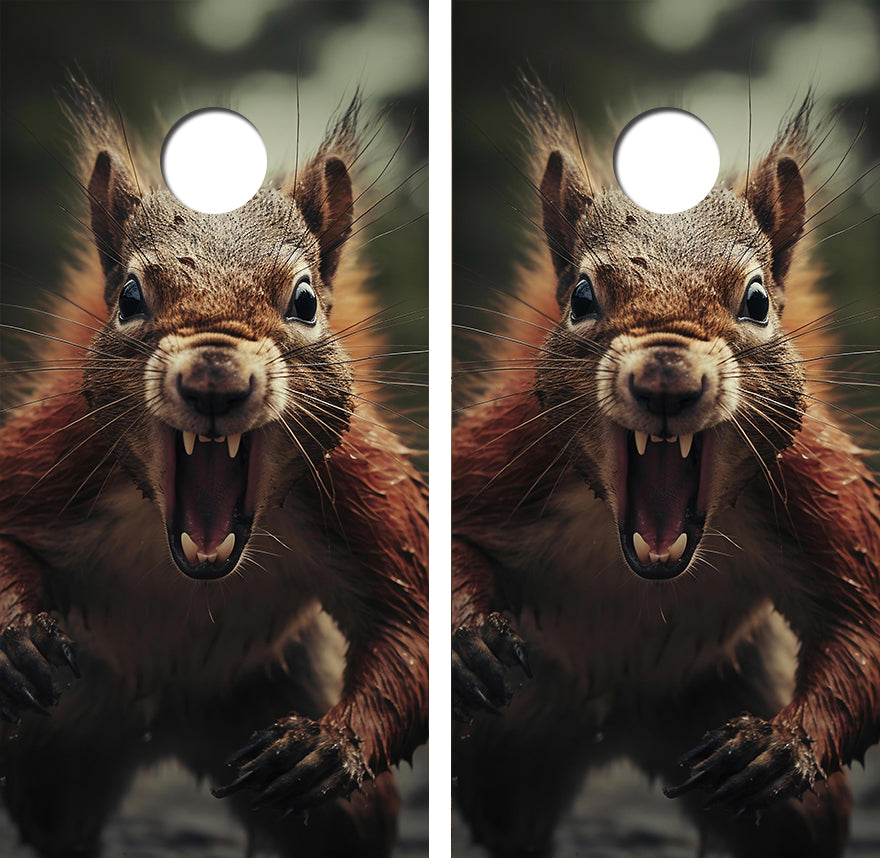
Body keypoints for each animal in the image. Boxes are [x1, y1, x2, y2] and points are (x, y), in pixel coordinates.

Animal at [0, 81, 428, 858]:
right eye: (128, 298)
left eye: (306, 301)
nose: (214, 379)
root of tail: (166, 728)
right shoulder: (57, 448)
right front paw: (17, 643)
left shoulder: (361, 482)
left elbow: (411, 616)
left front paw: (327, 745)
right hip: (58, 746)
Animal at [451, 80, 880, 858]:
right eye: (581, 298)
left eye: (758, 301)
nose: (666, 379)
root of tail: (621, 729)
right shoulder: (511, 450)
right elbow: (440, 536)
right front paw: (469, 640)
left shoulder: (811, 481)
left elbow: (862, 616)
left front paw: (779, 745)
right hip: (511, 747)